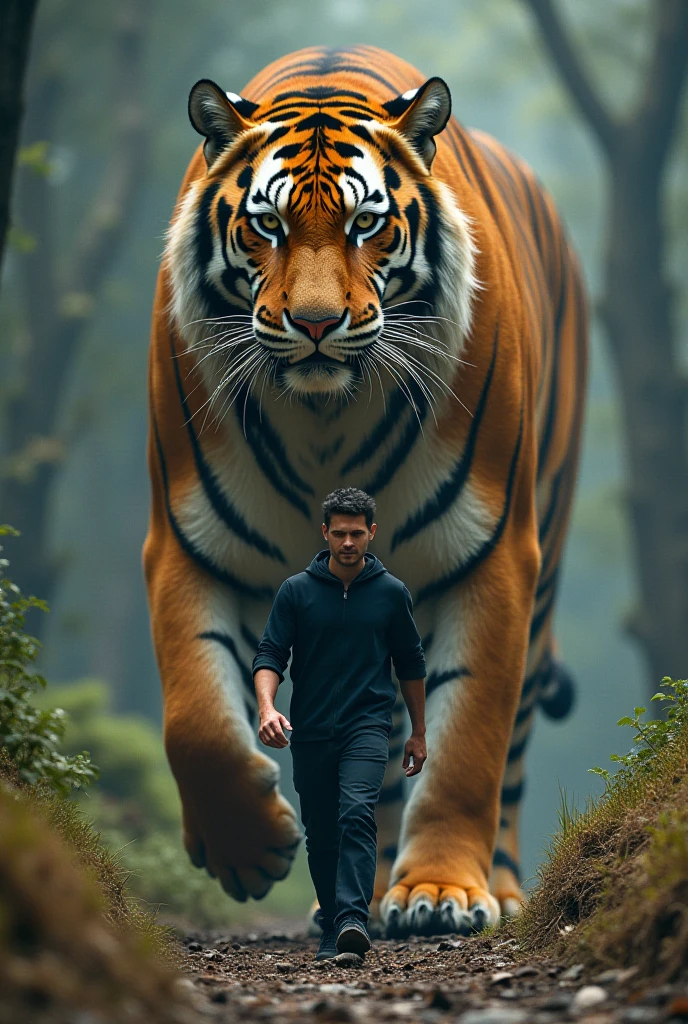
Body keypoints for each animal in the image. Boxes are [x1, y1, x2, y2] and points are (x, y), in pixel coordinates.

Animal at [144, 44, 587, 935]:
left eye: (366, 224)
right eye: (268, 225)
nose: (316, 324)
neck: (325, 419)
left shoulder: (493, 556)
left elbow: (468, 742)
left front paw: (443, 892)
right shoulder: (186, 541)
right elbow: (196, 719)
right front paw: (250, 851)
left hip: (546, 557)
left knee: (513, 743)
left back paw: (493, 889)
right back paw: (359, 896)